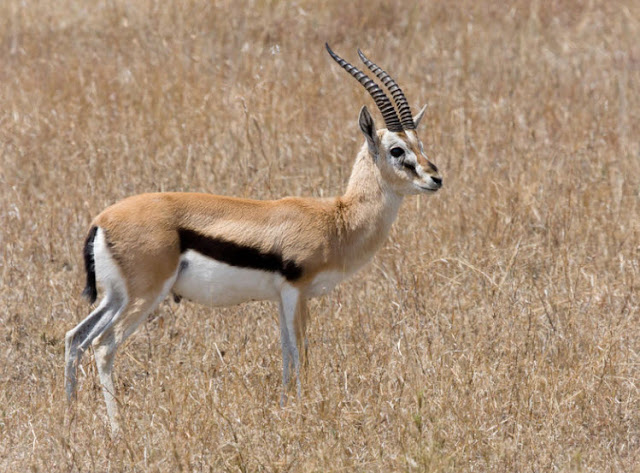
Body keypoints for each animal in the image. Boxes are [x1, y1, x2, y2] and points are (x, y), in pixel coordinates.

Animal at [64, 44, 443, 433]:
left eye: (420, 144)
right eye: (397, 150)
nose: (435, 178)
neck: (337, 219)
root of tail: (102, 220)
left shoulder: (281, 297)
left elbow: (286, 353)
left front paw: (285, 409)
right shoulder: (296, 292)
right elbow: (300, 352)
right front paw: (303, 413)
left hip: (115, 296)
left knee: (75, 337)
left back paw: (71, 415)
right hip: (144, 296)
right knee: (103, 346)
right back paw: (117, 428)